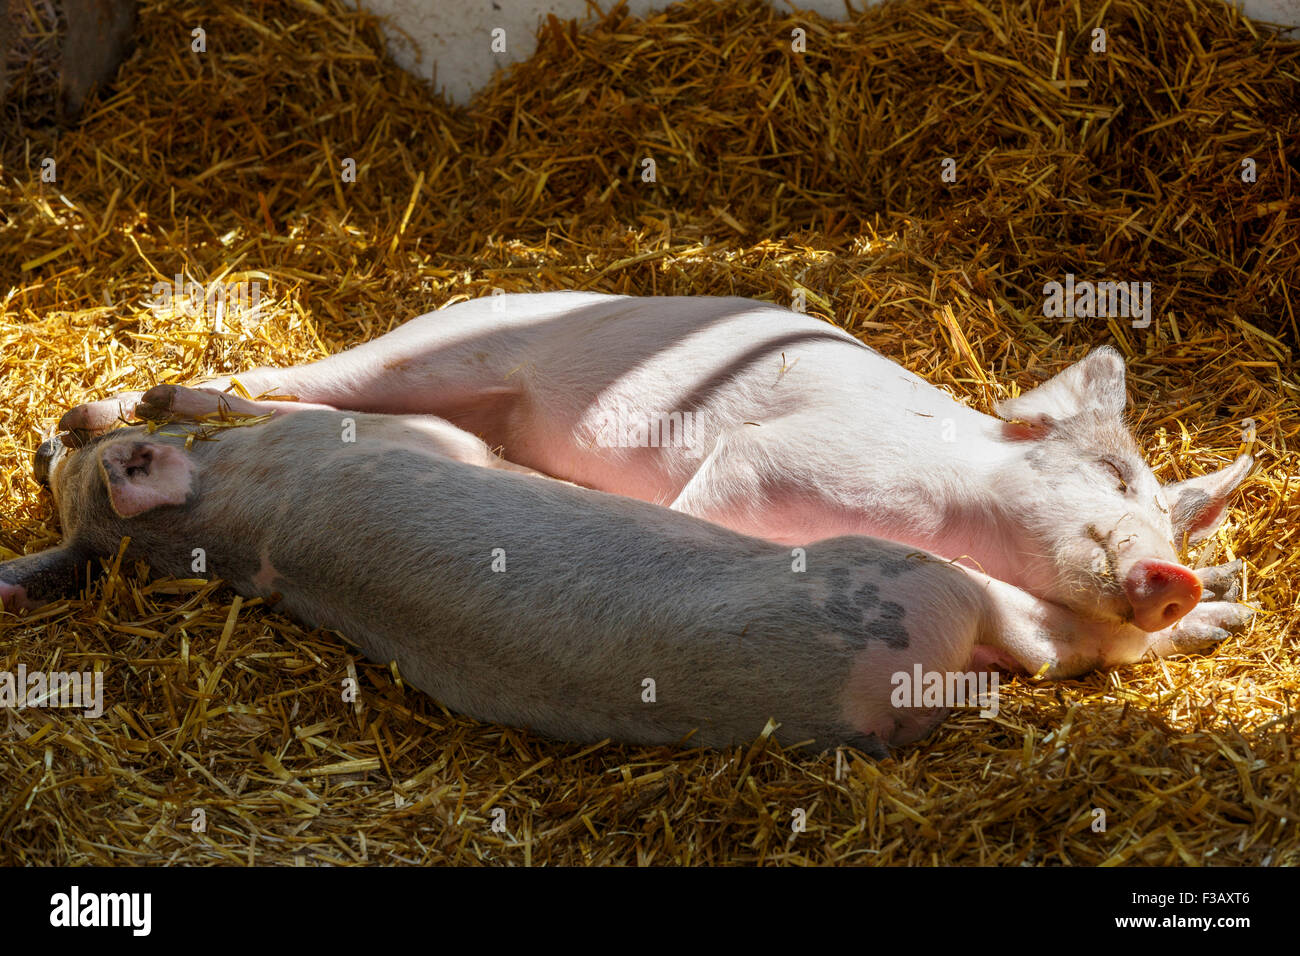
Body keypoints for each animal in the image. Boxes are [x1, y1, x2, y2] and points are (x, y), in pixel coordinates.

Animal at [0, 387, 1254, 751]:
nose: (59, 424)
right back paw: (1216, 612)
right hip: (907, 574)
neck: (233, 511)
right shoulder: (408, 436)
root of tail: (871, 695)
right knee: (1054, 639)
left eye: (72, 456)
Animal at [59, 293, 1255, 650]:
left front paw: (1226, 610)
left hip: (441, 399)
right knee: (278, 377)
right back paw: (119, 407)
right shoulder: (768, 460)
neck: (955, 521)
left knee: (325, 410)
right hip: (444, 342)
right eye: (1113, 475)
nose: (1172, 573)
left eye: (1172, 516)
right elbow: (703, 507)